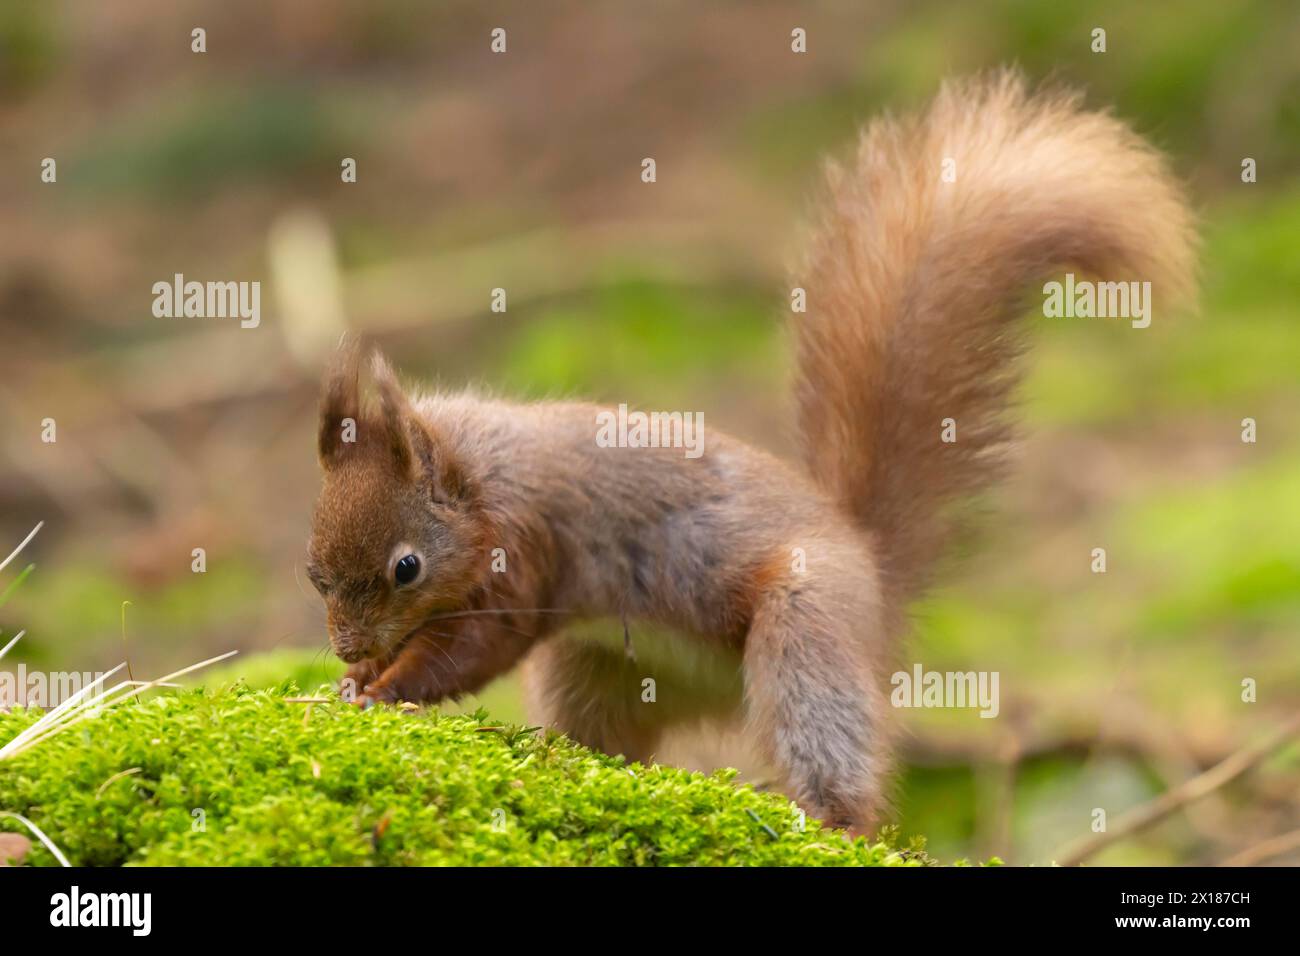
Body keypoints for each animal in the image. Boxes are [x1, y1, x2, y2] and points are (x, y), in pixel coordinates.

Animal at [306, 72, 1196, 830]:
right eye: (312, 573)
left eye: (408, 567)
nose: (347, 647)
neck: (481, 473)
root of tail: (873, 577)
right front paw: (350, 682)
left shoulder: (523, 551)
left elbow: (474, 647)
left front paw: (383, 688)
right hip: (599, 668)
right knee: (609, 736)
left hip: (806, 634)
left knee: (834, 751)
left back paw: (827, 818)